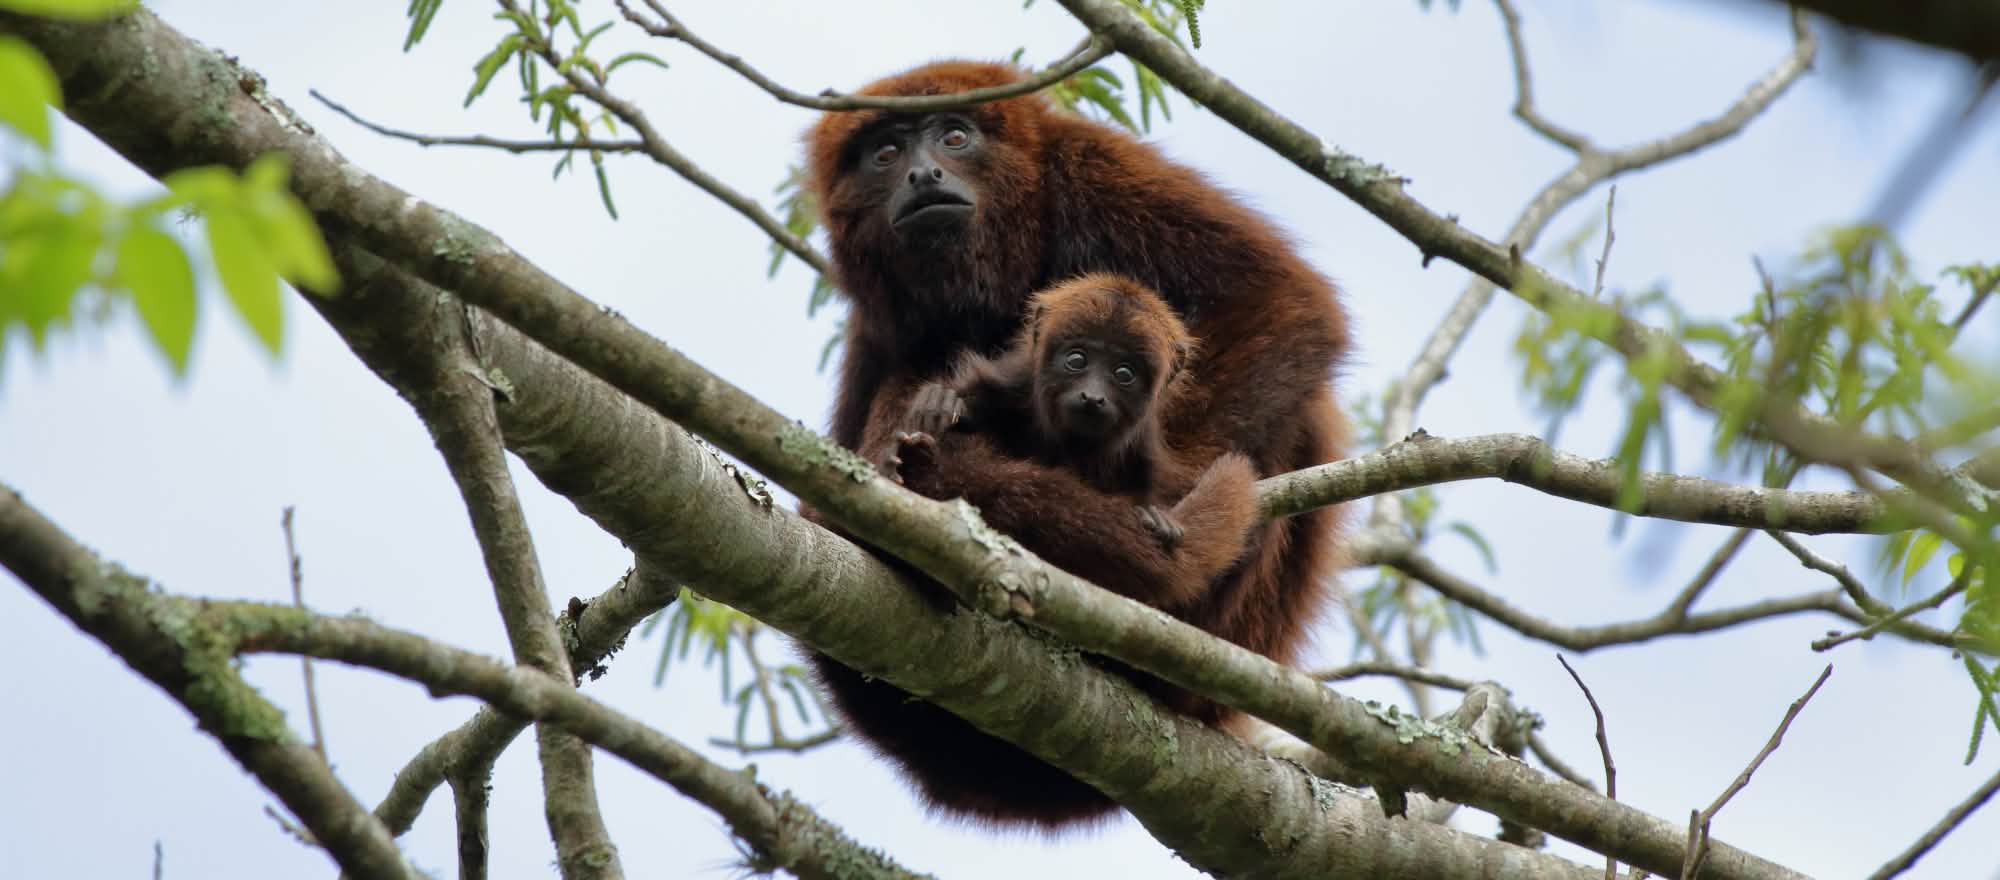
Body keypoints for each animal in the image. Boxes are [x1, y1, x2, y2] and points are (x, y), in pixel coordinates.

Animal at [798, 59, 1351, 830]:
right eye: (884, 153)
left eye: (955, 135)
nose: (922, 174)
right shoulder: (876, 327)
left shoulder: (1091, 171)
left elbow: (1283, 301)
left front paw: (1160, 497)